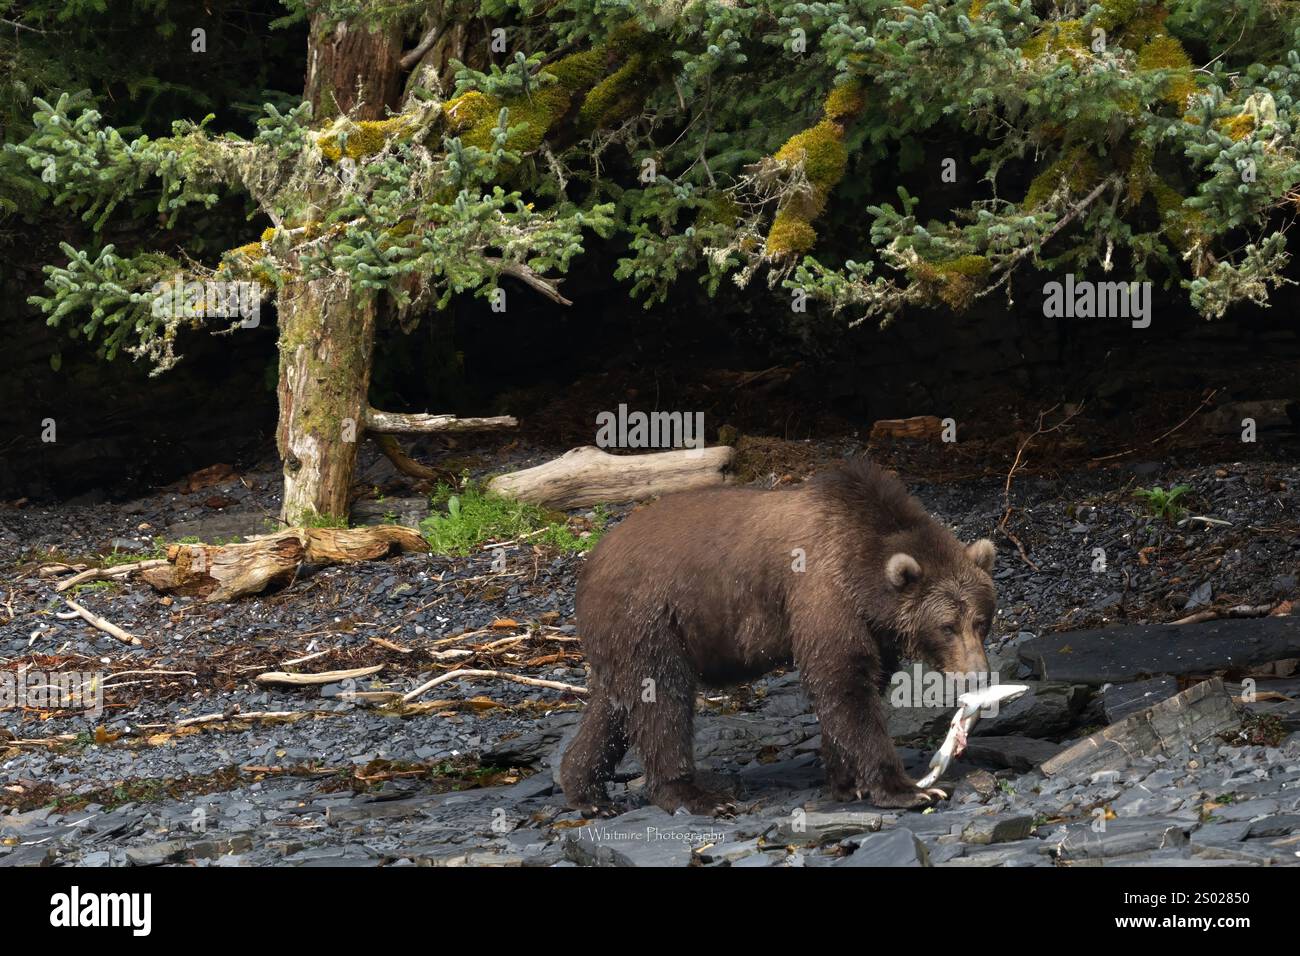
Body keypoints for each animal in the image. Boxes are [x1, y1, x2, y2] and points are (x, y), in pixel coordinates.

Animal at [560, 457, 996, 815]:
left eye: (981, 620)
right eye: (947, 626)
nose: (977, 674)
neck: (862, 573)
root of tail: (590, 562)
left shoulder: (872, 626)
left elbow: (860, 685)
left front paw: (847, 781)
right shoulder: (822, 593)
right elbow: (843, 683)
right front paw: (908, 788)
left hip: (622, 635)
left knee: (614, 705)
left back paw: (586, 791)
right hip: (649, 614)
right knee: (662, 699)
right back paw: (696, 796)